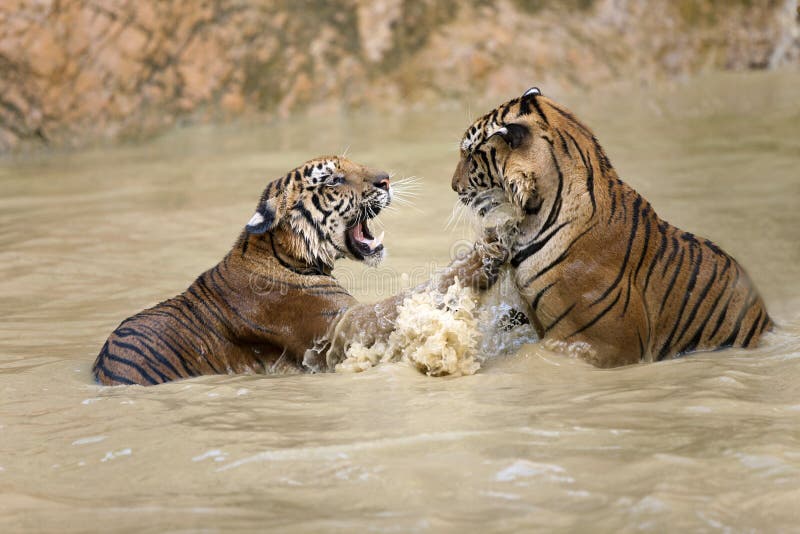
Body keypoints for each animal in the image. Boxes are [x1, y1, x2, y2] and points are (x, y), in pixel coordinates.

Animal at [93, 155, 504, 385]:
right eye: (334, 178)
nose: (386, 179)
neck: (283, 252)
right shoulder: (339, 328)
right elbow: (403, 299)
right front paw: (485, 251)